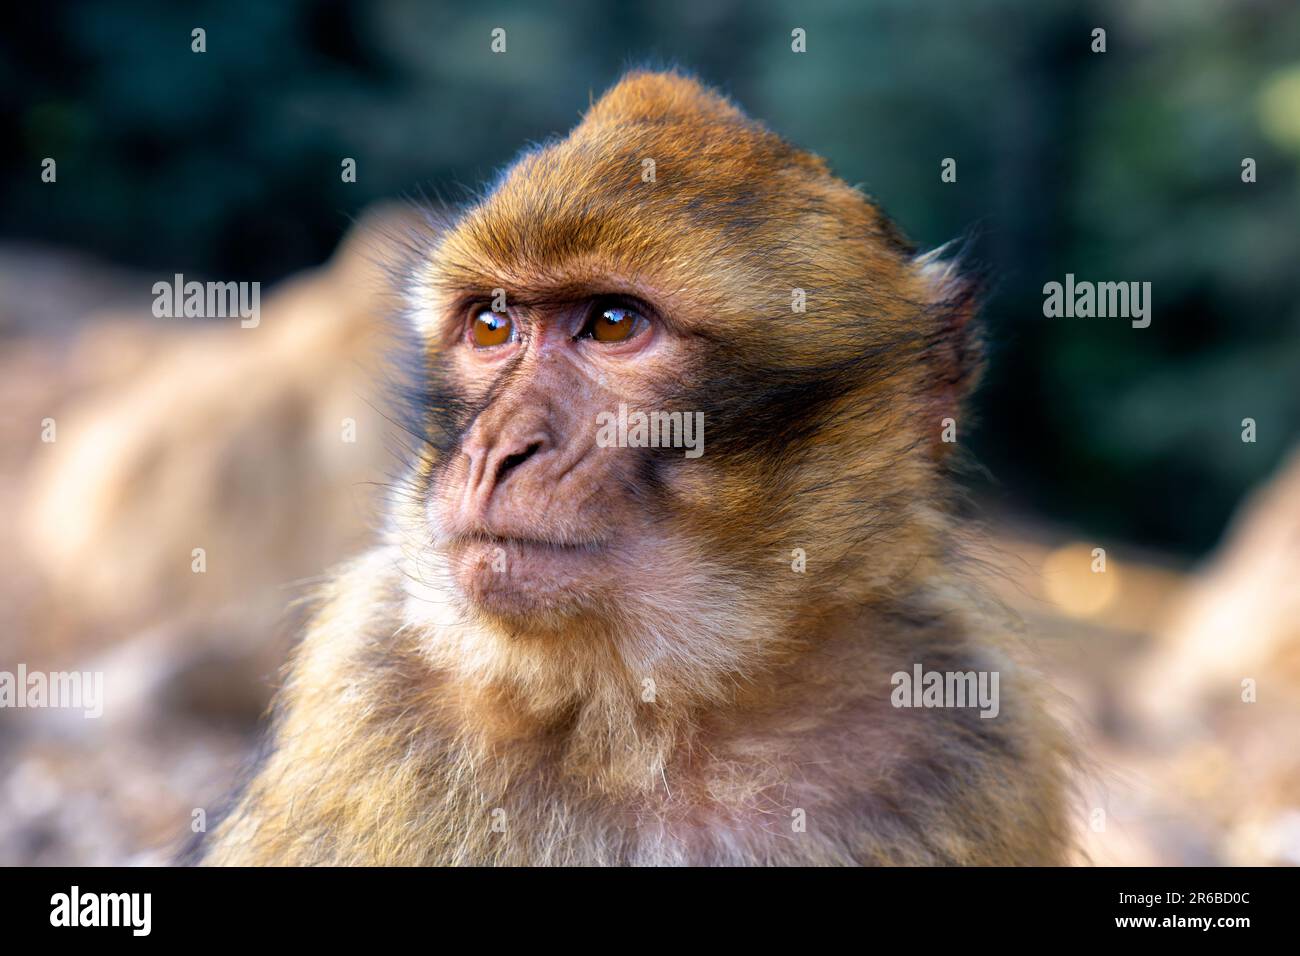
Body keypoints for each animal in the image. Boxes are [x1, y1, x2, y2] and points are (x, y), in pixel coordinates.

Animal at [196, 69, 1073, 866]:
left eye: (614, 323)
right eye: (491, 325)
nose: (494, 451)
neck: (647, 717)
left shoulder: (966, 733)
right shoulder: (360, 697)